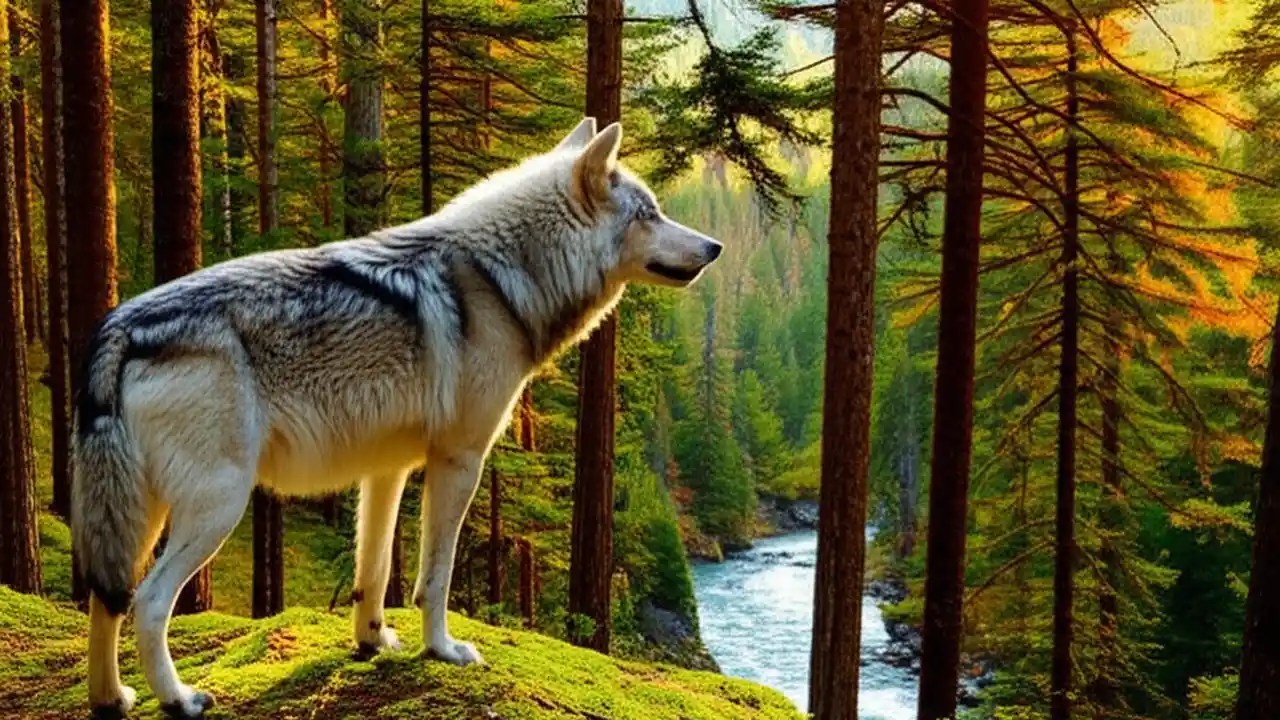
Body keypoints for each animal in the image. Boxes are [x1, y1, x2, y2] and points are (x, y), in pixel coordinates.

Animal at [70, 118, 722, 719]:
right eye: (650, 213)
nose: (714, 247)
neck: (501, 282)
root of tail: (118, 326)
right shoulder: (459, 461)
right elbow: (435, 577)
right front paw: (444, 650)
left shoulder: (386, 470)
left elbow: (375, 571)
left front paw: (372, 642)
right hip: (216, 508)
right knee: (148, 603)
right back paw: (178, 698)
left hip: (141, 517)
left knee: (106, 601)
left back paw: (111, 698)